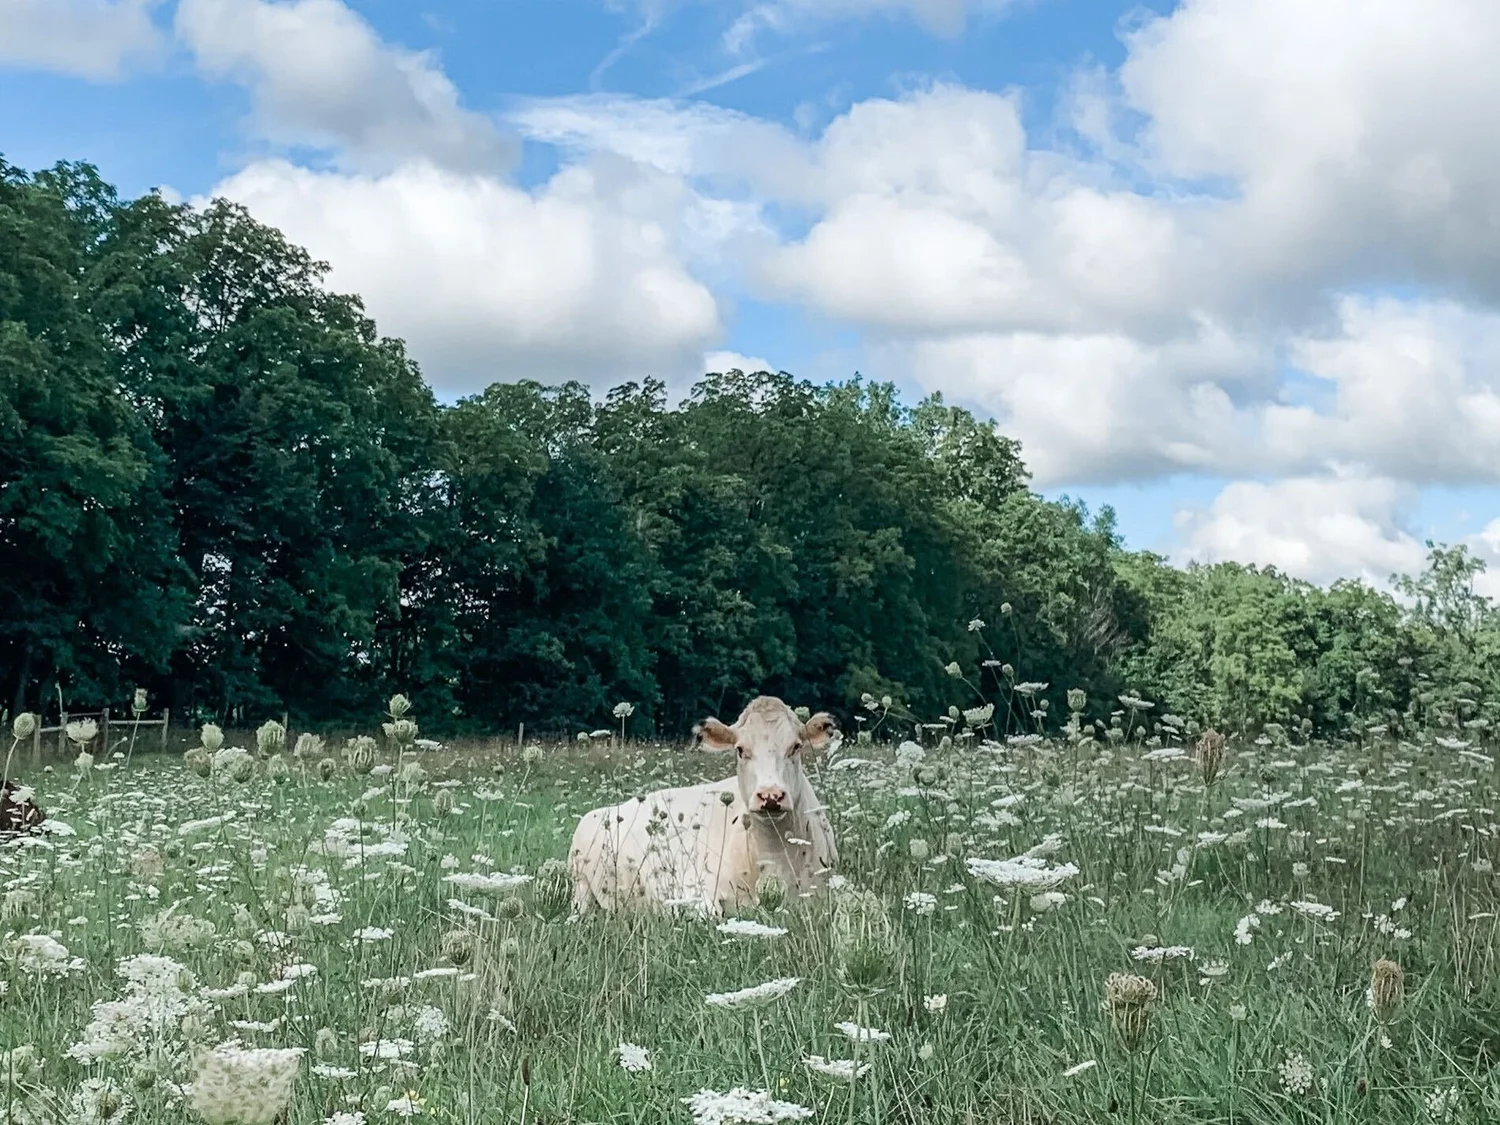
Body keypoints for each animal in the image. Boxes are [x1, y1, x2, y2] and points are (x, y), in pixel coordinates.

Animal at [568, 697, 840, 917]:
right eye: (740, 750)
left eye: (795, 746)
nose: (770, 795)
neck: (773, 858)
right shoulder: (691, 891)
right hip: (580, 883)